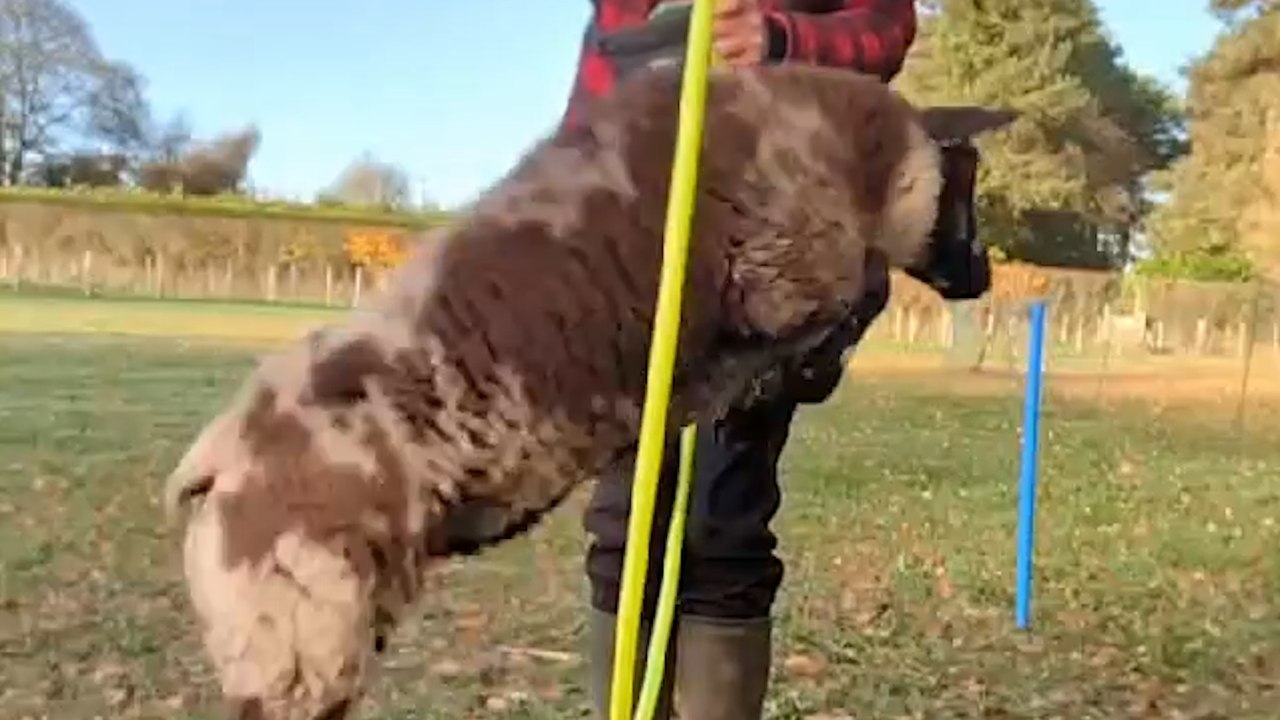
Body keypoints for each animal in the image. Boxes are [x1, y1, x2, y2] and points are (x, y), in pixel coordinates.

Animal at [162, 63, 1015, 719]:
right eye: (968, 183)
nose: (986, 278)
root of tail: (222, 456)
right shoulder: (791, 276)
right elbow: (850, 301)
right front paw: (795, 370)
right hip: (307, 635)